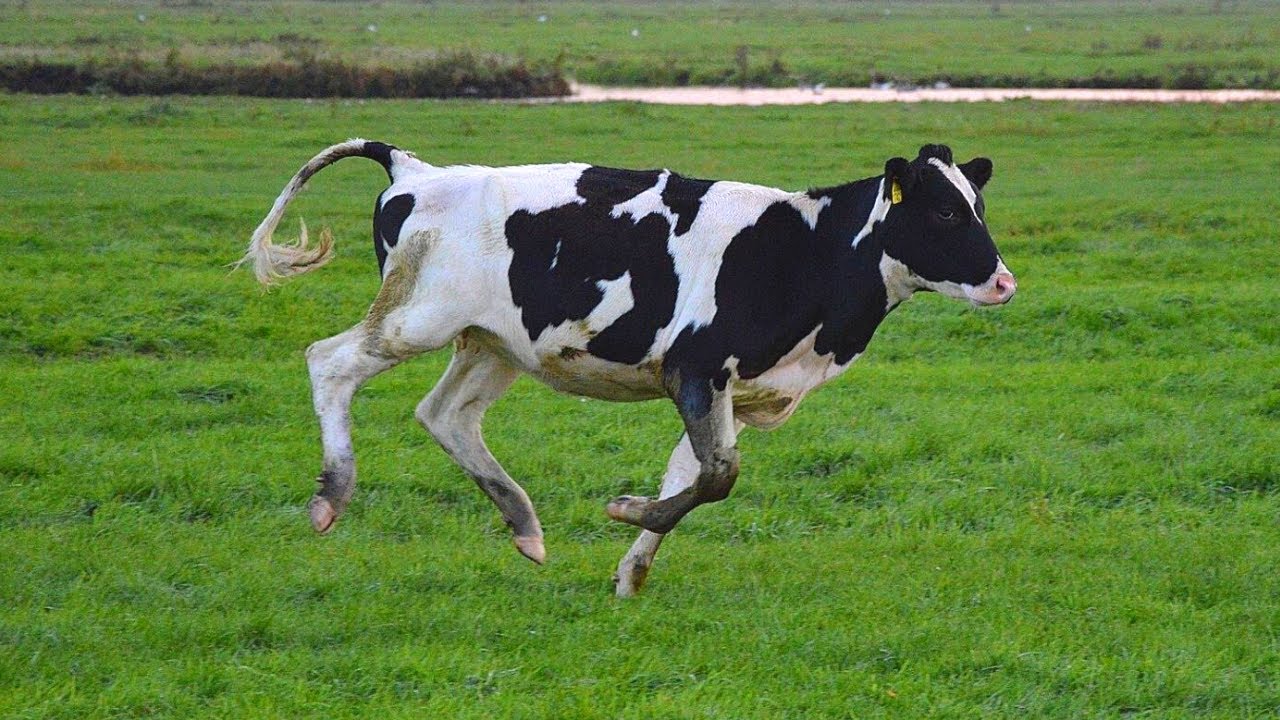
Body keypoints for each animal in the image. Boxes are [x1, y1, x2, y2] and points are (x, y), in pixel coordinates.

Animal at [240, 139, 1016, 596]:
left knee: (445, 415)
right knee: (330, 362)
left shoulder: (732, 389)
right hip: (416, 318)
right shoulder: (695, 367)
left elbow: (695, 475)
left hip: (493, 342)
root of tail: (416, 170)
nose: (1005, 282)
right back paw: (331, 495)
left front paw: (632, 570)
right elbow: (719, 476)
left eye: (977, 205)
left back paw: (523, 524)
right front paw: (624, 509)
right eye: (945, 213)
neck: (806, 250)